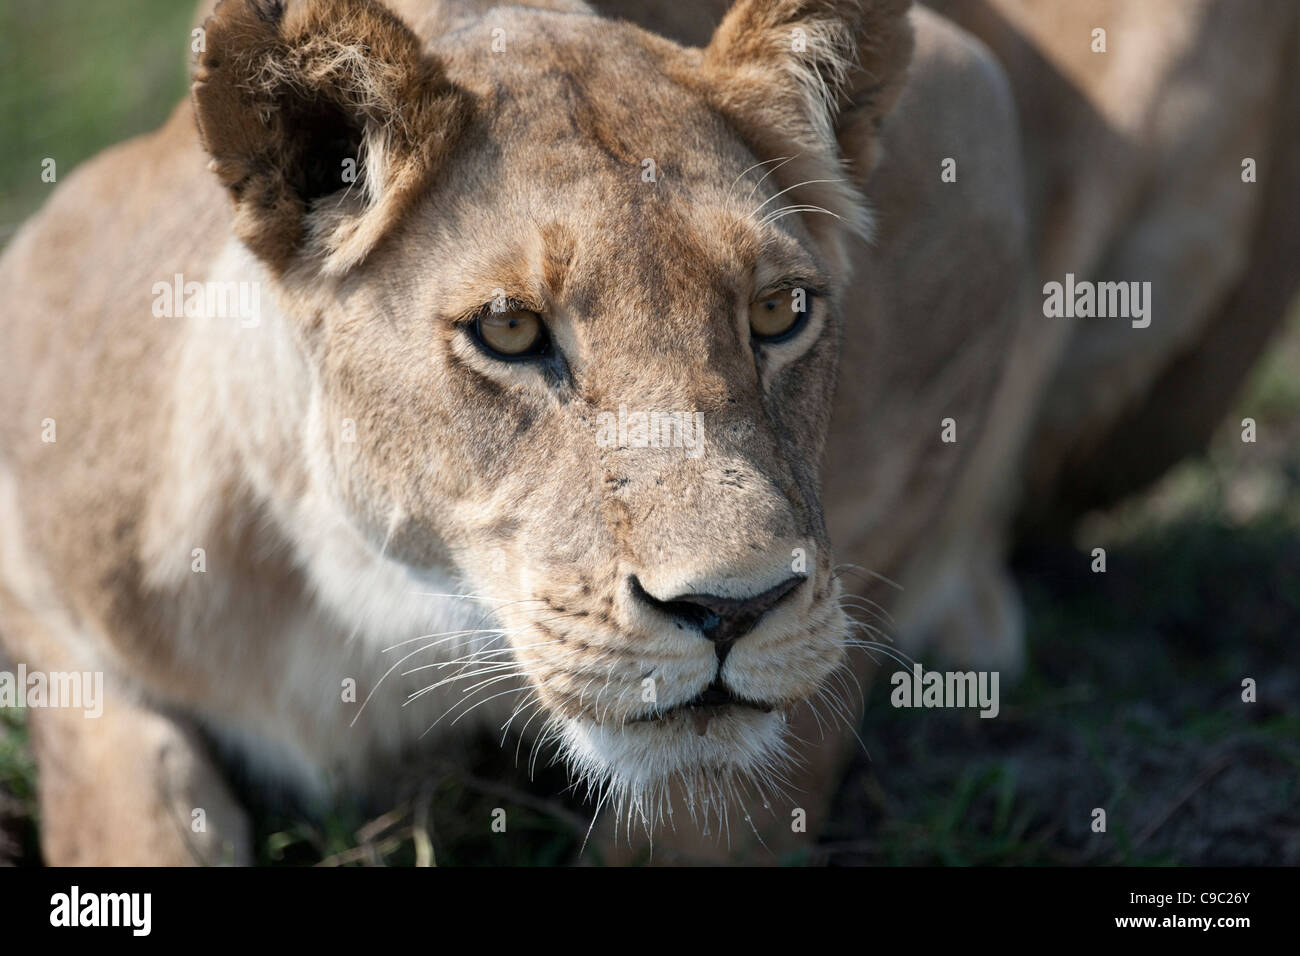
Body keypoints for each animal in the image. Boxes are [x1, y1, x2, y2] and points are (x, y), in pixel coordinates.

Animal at [0, 0, 1042, 864]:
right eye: (508, 329)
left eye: (780, 312)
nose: (731, 611)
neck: (392, 598)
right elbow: (123, 795)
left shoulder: (978, 130)